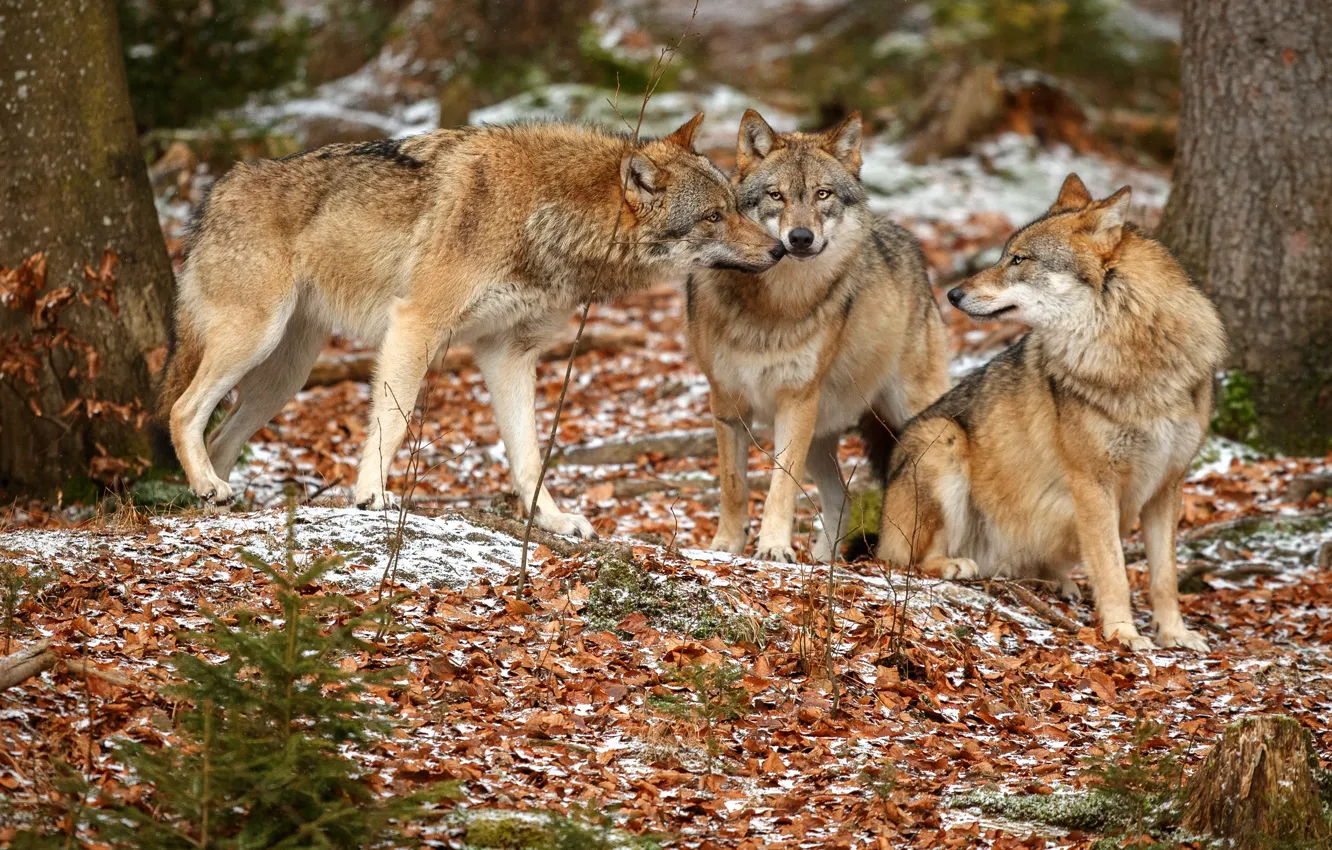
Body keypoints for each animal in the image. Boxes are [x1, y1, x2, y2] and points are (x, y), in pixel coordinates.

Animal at [159, 115, 783, 537]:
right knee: (182, 411)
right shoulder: (417, 324)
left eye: (737, 204)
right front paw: (371, 494)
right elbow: (393, 421)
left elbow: (529, 457)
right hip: (256, 341)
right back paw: (208, 486)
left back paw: (217, 501)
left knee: (219, 436)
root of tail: (215, 192)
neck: (546, 214)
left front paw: (552, 521)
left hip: (284, 376)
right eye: (714, 215)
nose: (781, 248)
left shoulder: (509, 354)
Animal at [686, 110, 951, 563]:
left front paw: (774, 547)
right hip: (821, 435)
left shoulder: (796, 400)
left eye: (822, 194)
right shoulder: (726, 402)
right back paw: (825, 560)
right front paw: (725, 545)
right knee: (842, 498)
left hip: (911, 419)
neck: (775, 307)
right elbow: (733, 487)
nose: (800, 238)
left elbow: (781, 487)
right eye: (776, 196)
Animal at [877, 174, 1226, 651]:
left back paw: (1059, 583)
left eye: (1018, 259)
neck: (1132, 355)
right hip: (943, 438)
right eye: (1005, 254)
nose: (952, 293)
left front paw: (1175, 634)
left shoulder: (1167, 485)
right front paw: (1124, 634)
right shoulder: (1092, 484)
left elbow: (1164, 578)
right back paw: (954, 564)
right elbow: (1114, 572)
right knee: (905, 560)